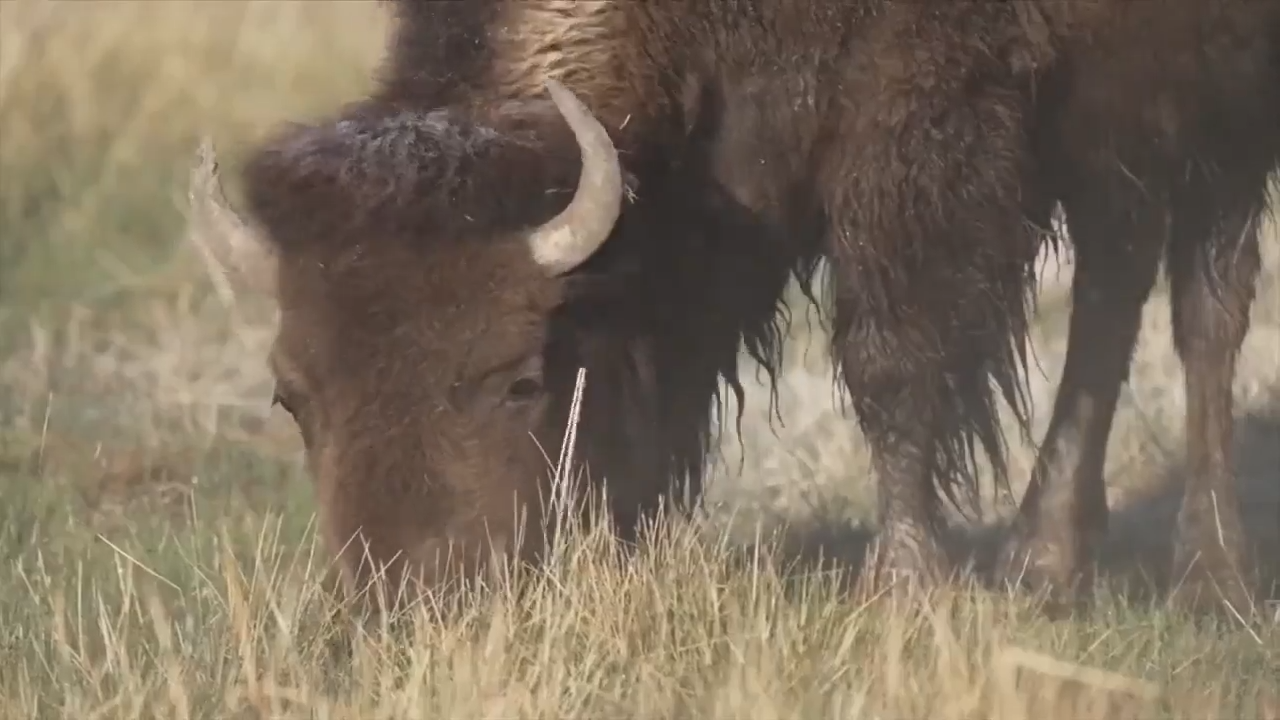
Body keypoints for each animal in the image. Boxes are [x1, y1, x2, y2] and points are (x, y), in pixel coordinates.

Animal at [188, 0, 1278, 615]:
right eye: (290, 395)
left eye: (519, 378)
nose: (402, 603)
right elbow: (667, 395)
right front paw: (627, 558)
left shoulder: (916, 132)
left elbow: (892, 363)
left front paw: (904, 593)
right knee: (1114, 284)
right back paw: (1044, 562)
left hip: (1216, 117)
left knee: (1204, 307)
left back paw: (1211, 577)